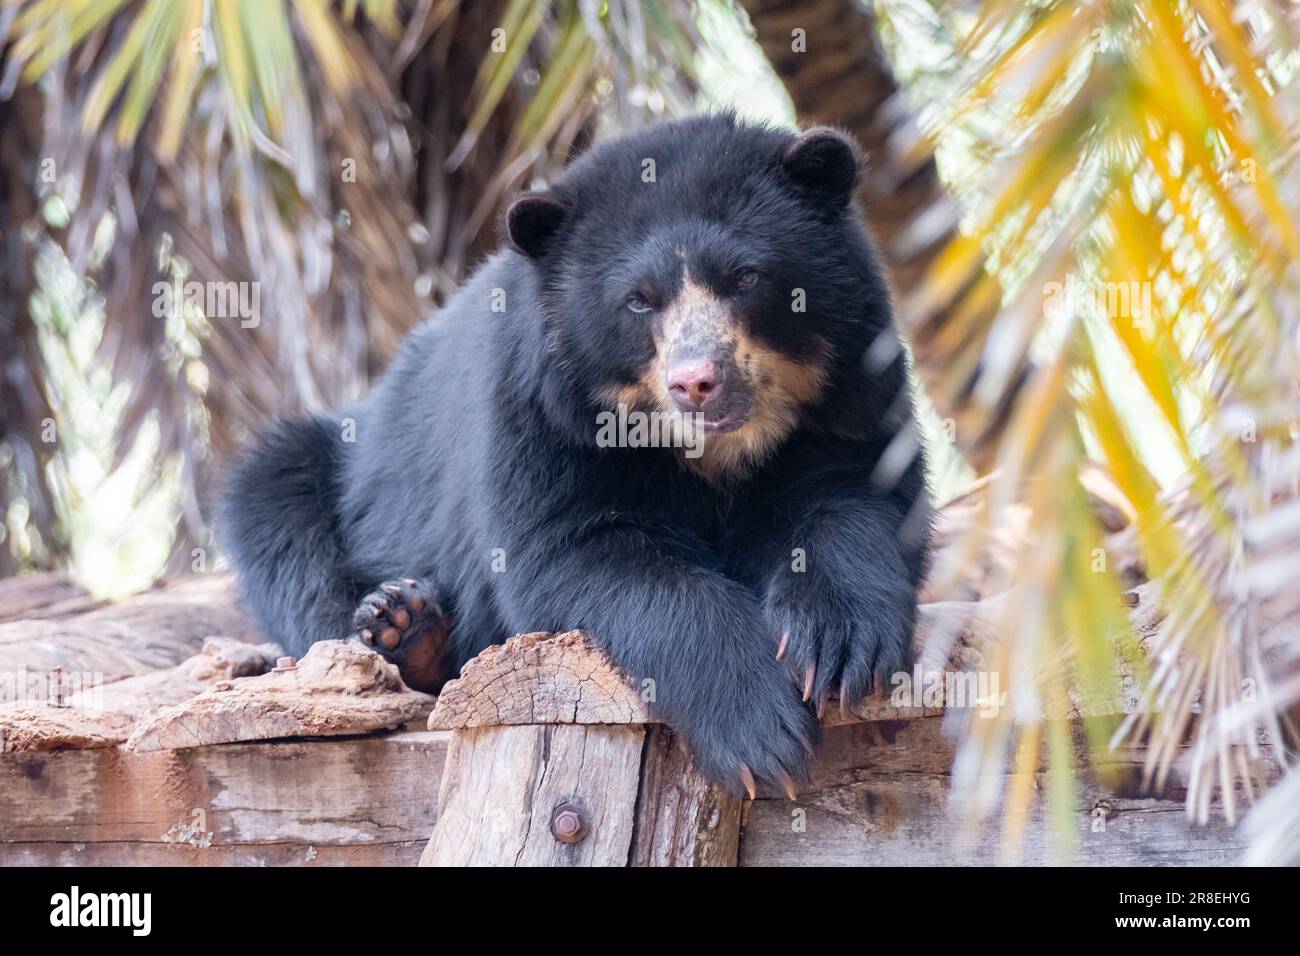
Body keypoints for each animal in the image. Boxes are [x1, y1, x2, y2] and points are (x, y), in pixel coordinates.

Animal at [221, 113, 932, 795]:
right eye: (639, 300)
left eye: (744, 278)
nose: (697, 382)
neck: (710, 449)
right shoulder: (536, 414)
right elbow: (581, 551)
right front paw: (760, 733)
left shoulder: (850, 382)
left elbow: (848, 494)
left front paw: (839, 649)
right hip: (326, 472)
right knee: (284, 524)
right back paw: (400, 625)